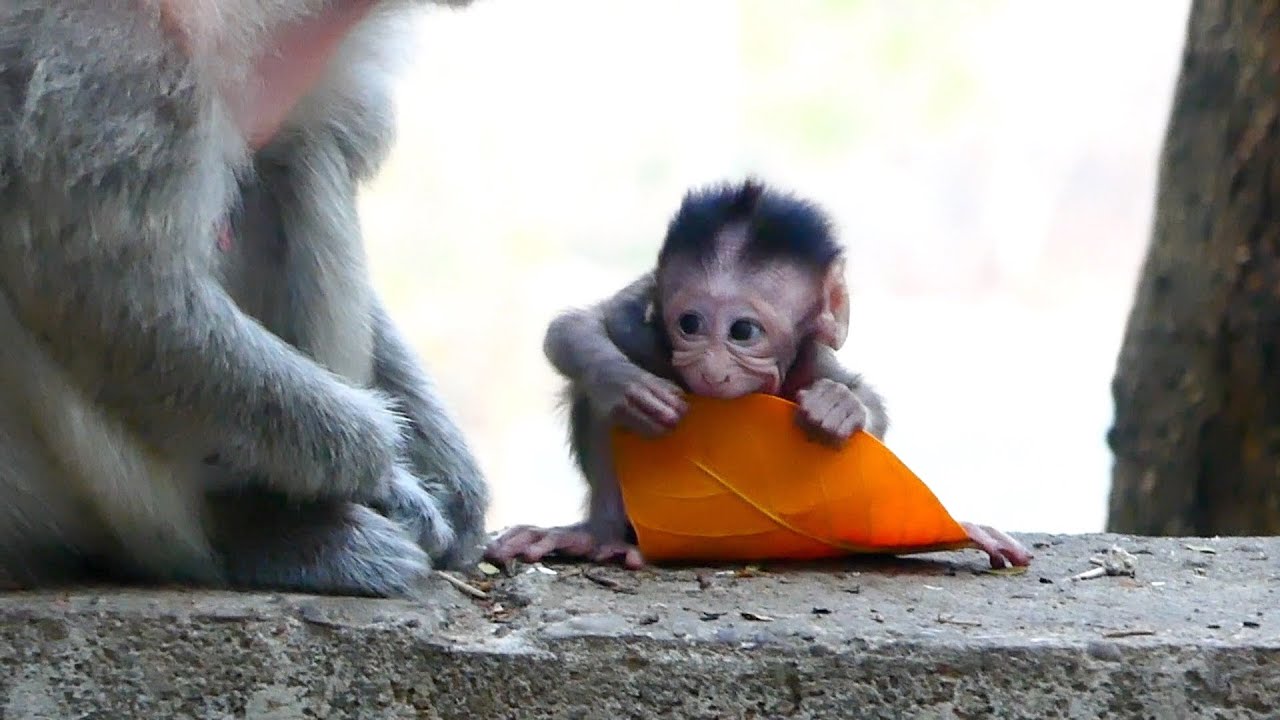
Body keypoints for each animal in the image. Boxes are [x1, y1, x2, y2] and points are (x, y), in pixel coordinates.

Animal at [0, 0, 487, 596]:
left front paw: (453, 478)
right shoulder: (102, 57)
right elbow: (104, 298)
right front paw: (385, 471)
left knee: (300, 158)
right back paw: (268, 537)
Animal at [486, 179, 1031, 571]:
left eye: (743, 331)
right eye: (689, 325)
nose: (710, 368)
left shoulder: (812, 360)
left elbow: (860, 398)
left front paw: (840, 406)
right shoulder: (642, 323)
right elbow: (576, 328)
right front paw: (628, 388)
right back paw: (597, 535)